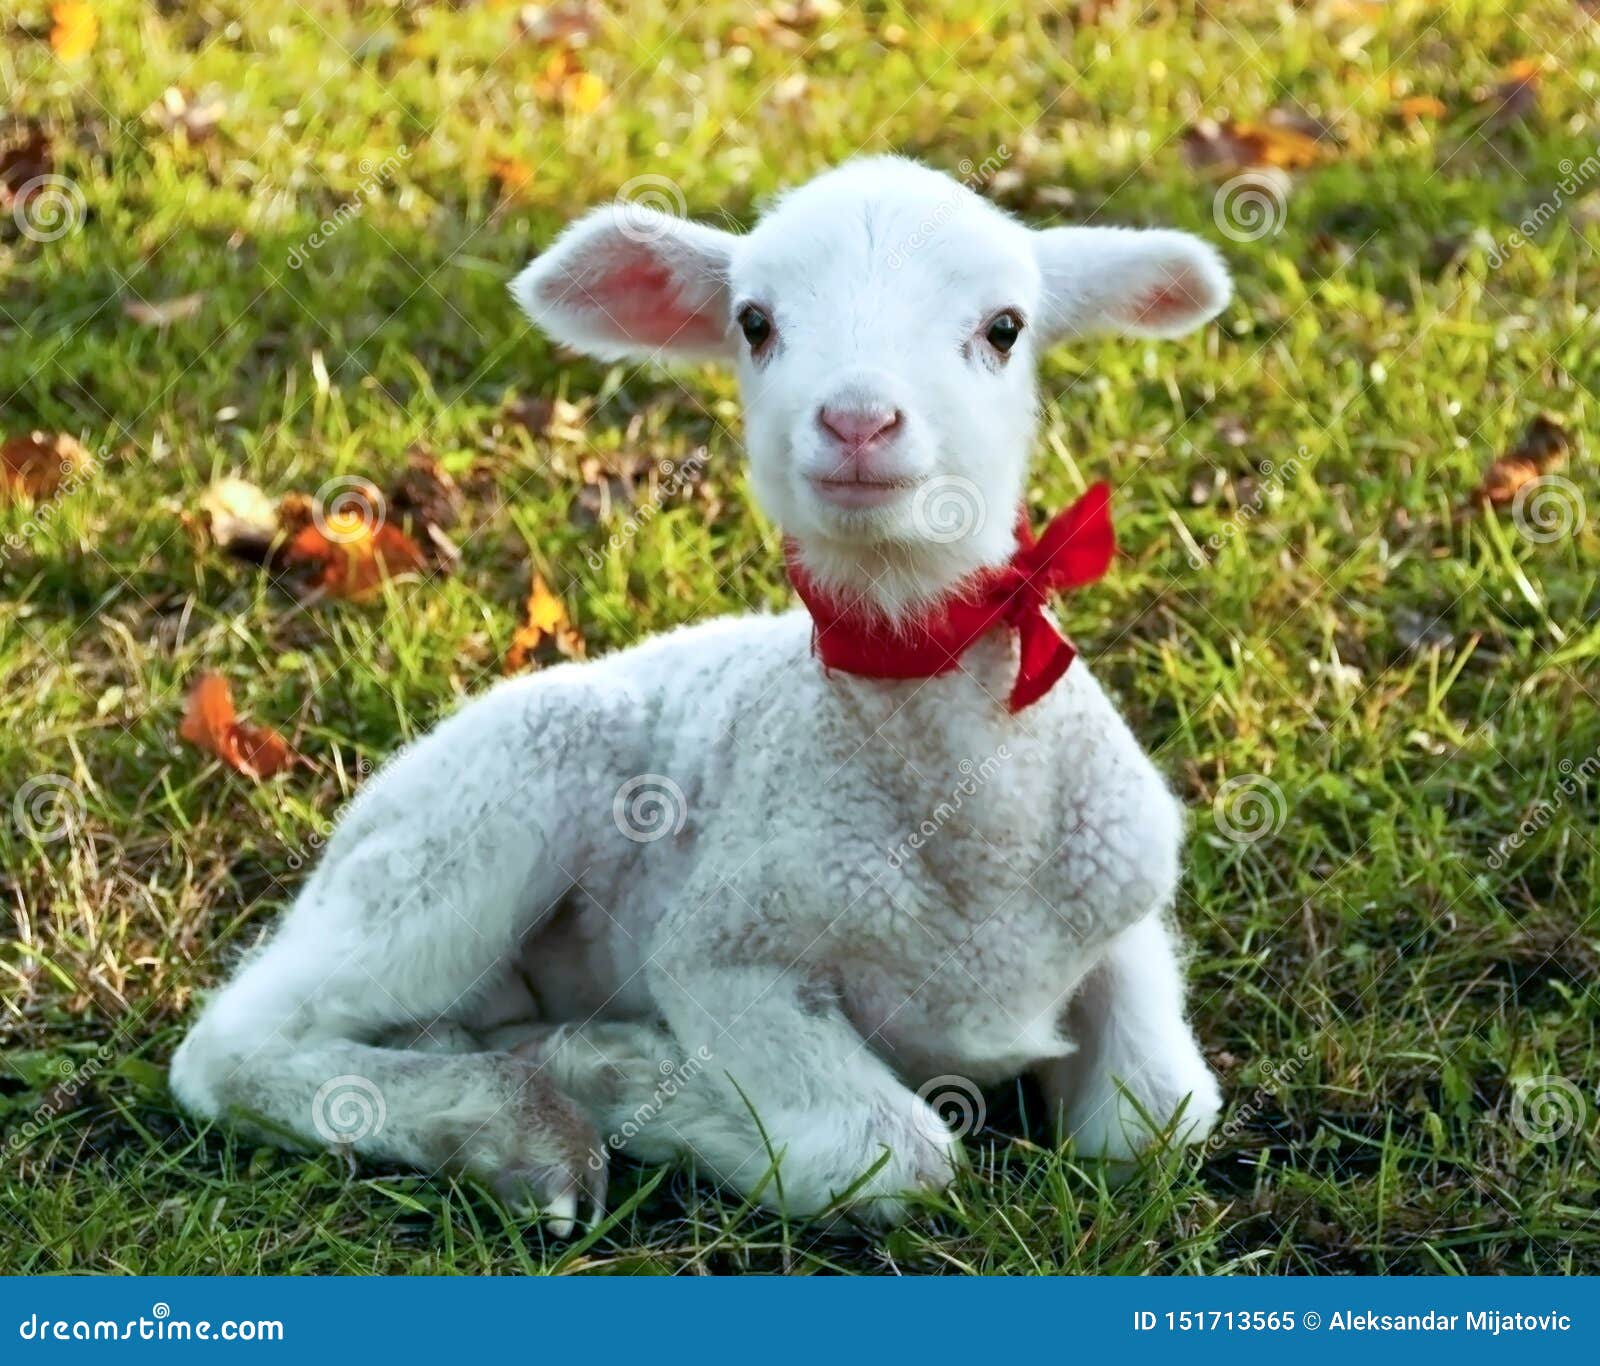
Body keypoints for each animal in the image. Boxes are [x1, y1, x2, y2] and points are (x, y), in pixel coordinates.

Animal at [170, 155, 1231, 1234]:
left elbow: (1160, 1116)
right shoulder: (722, 953)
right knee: (228, 1049)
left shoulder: (1130, 910)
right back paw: (527, 1130)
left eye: (1005, 328)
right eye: (753, 323)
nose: (856, 422)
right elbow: (886, 1156)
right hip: (474, 822)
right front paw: (623, 1071)